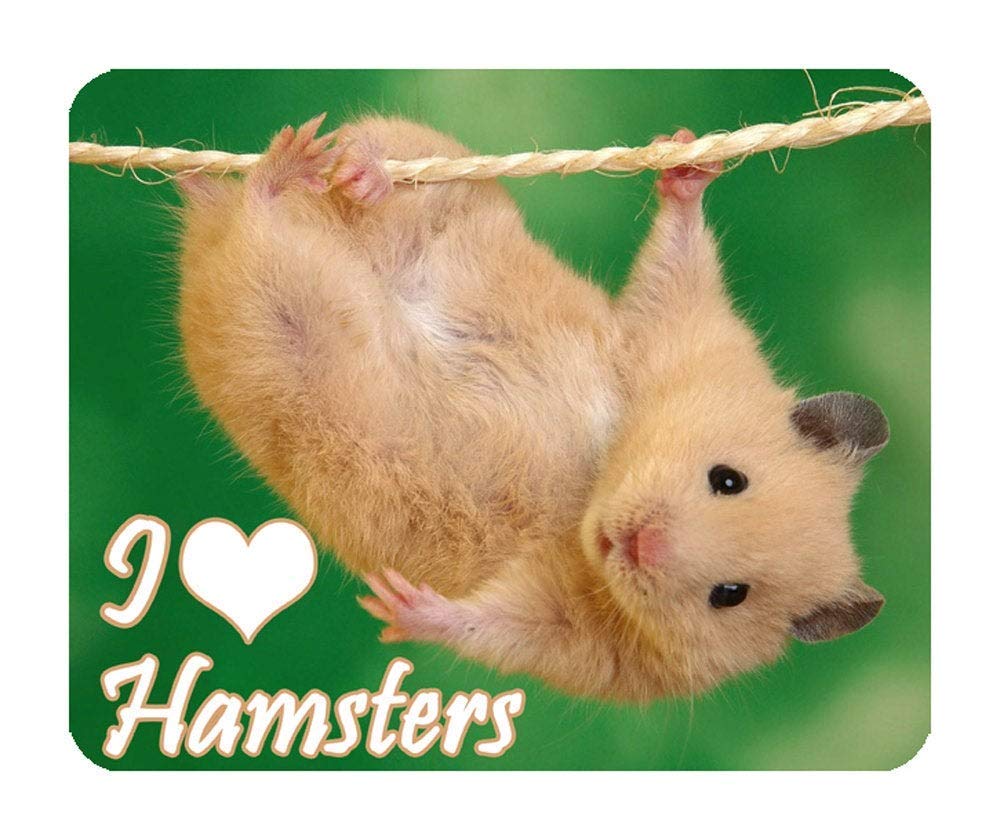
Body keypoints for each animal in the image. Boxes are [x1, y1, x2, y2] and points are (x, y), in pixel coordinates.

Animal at [175, 115, 888, 702]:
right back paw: (337, 167)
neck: (594, 488)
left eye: (730, 596)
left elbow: (494, 625)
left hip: (271, 326)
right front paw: (687, 159)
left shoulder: (581, 641)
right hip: (440, 183)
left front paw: (396, 604)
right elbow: (676, 264)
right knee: (370, 163)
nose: (636, 543)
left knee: (255, 233)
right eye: (728, 479)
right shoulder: (675, 335)